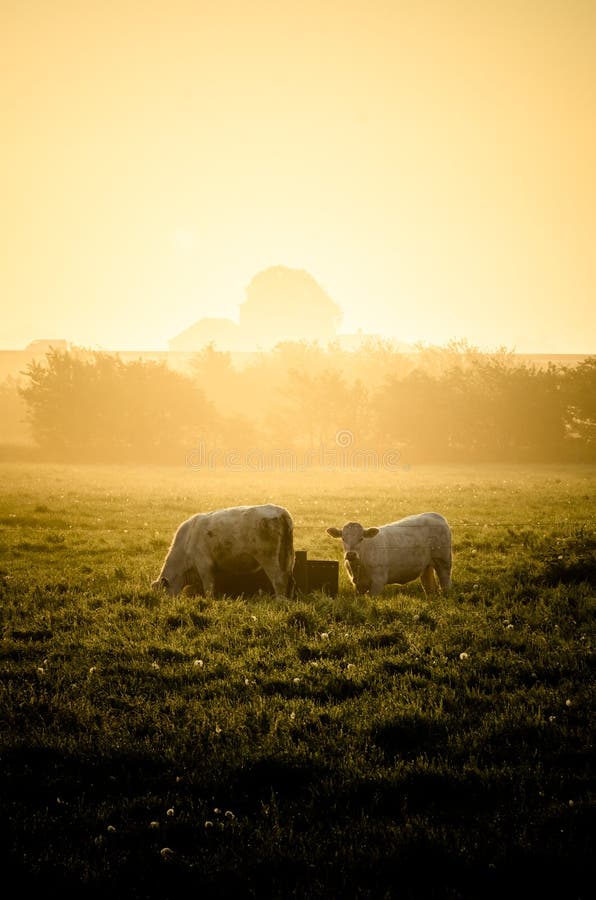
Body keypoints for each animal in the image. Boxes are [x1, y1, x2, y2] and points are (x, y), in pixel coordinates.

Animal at [152, 504, 295, 598]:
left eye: (163, 594)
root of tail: (281, 511)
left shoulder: (204, 566)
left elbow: (208, 588)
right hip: (287, 558)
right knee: (288, 579)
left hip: (268, 558)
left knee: (278, 579)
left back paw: (279, 600)